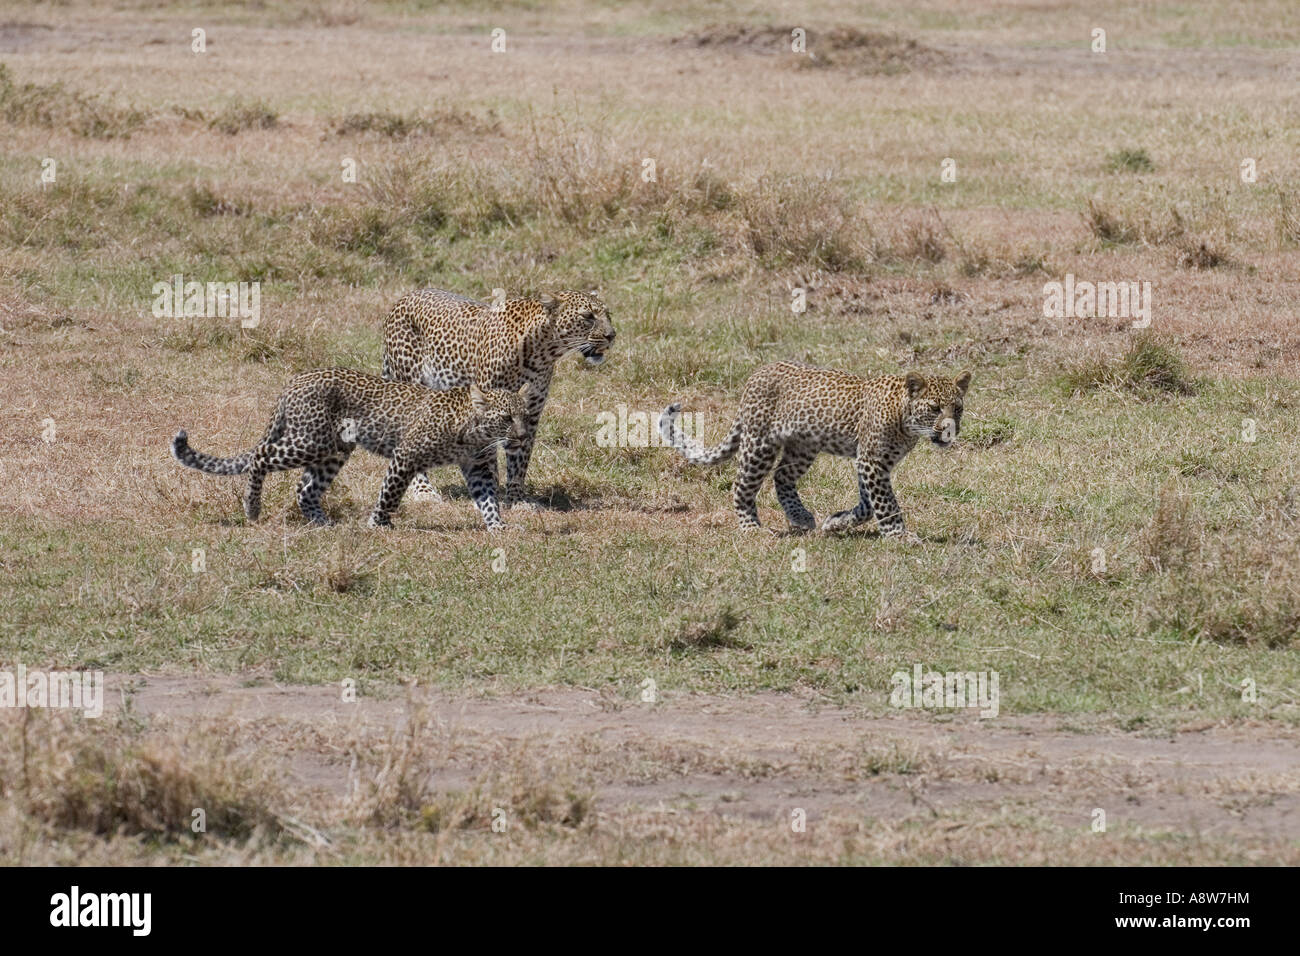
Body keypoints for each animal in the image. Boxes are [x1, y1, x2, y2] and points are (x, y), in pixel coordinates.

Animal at [171, 368, 529, 530]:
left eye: (524, 415)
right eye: (506, 418)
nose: (523, 436)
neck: (474, 433)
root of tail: (295, 380)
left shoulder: (477, 466)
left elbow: (488, 498)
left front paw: (497, 527)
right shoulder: (406, 456)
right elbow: (391, 493)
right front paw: (378, 524)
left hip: (333, 450)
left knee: (306, 489)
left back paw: (324, 524)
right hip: (309, 441)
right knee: (261, 457)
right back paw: (252, 508)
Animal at [382, 288, 615, 508]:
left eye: (608, 314)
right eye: (587, 316)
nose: (612, 335)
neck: (542, 352)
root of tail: (402, 300)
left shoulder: (530, 413)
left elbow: (520, 460)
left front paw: (516, 500)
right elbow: (490, 460)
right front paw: (489, 496)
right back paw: (423, 491)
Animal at [659, 361, 972, 539]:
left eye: (957, 408)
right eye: (935, 409)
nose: (949, 430)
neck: (905, 421)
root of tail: (755, 375)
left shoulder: (870, 463)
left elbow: (868, 506)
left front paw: (836, 523)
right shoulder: (871, 461)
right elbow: (886, 504)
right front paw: (899, 536)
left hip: (802, 448)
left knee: (782, 477)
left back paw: (800, 517)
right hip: (759, 444)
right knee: (741, 486)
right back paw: (751, 529)